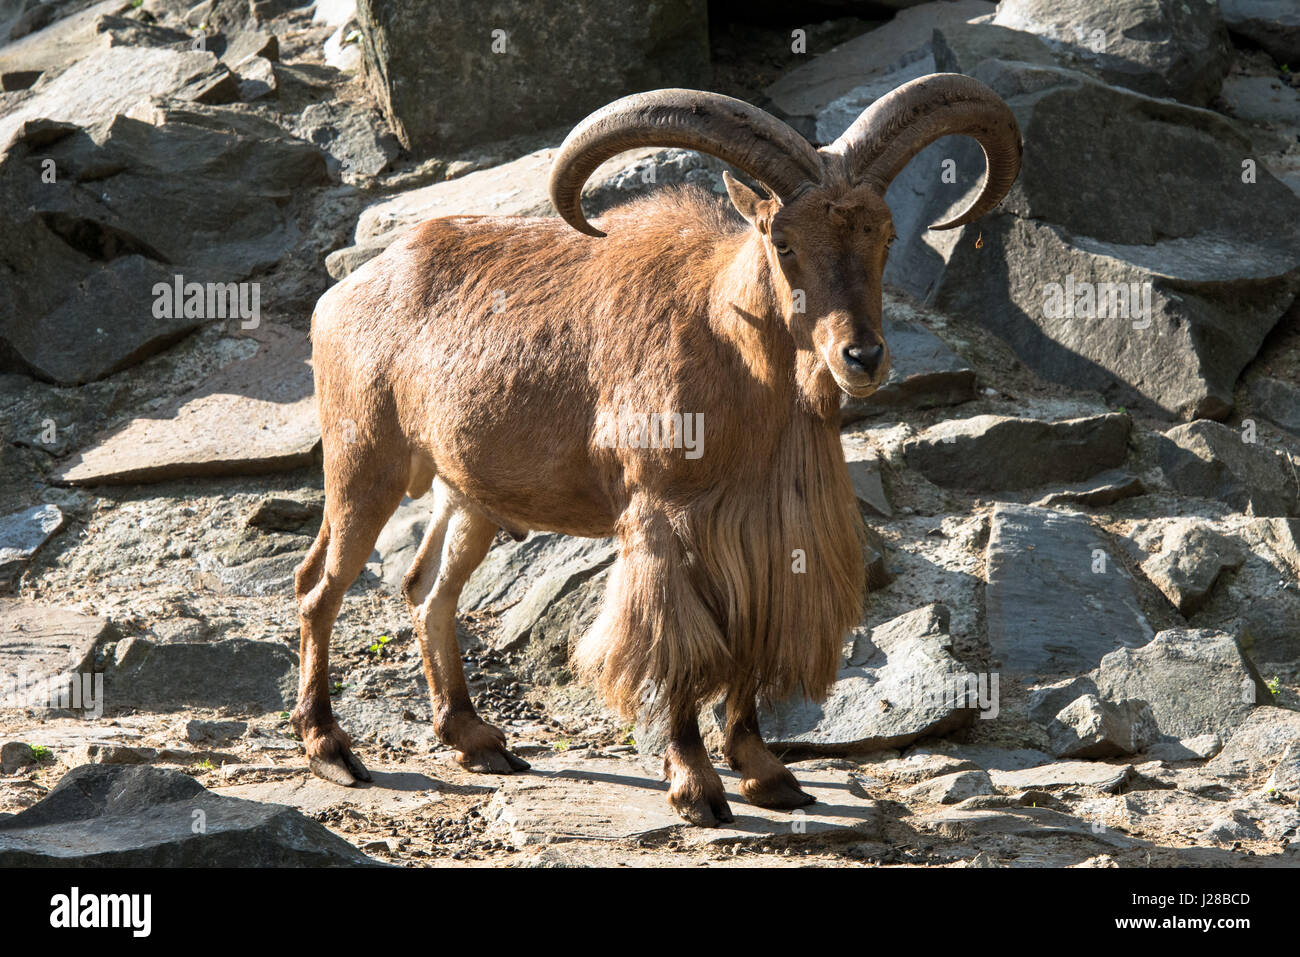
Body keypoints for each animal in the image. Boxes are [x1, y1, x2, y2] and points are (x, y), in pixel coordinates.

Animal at [293, 74, 1021, 826]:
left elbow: (745, 648)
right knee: (319, 586)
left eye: (886, 234)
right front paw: (697, 787)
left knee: (427, 588)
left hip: (469, 495)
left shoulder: (764, 536)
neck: (734, 356)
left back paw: (476, 738)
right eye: (784, 241)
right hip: (362, 462)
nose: (863, 357)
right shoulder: (661, 518)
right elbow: (677, 648)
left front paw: (769, 774)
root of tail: (344, 293)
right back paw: (329, 747)